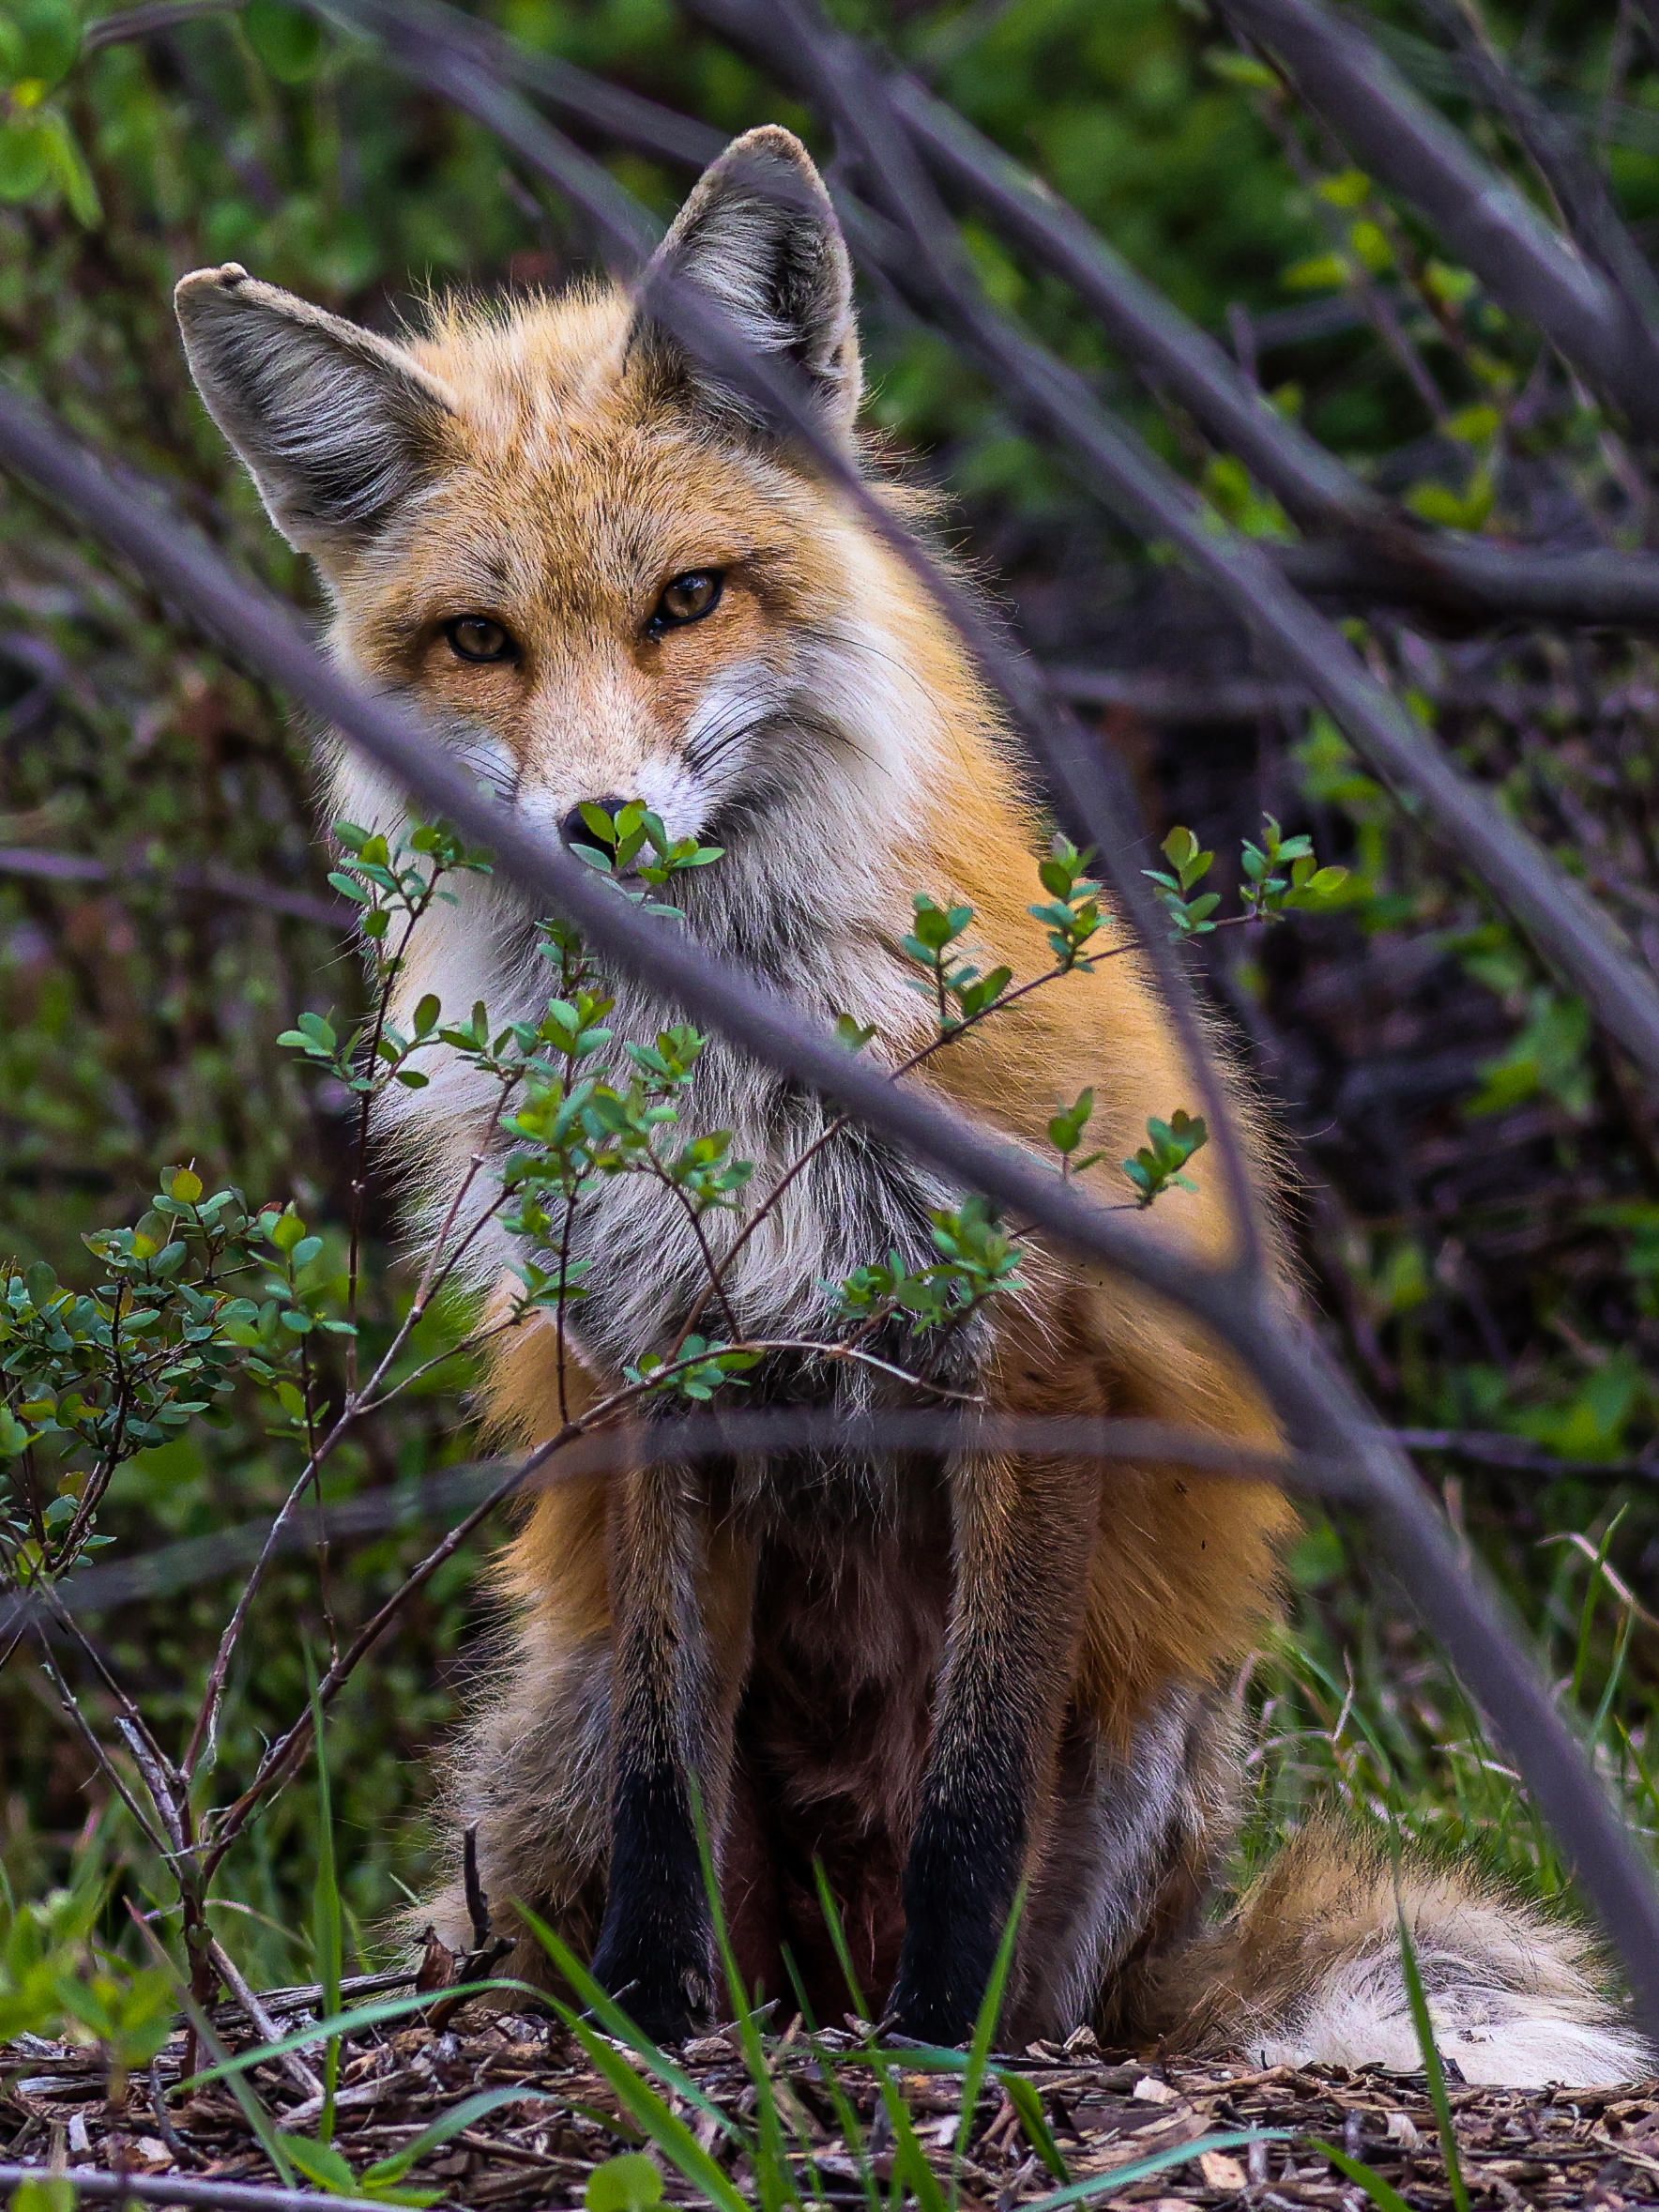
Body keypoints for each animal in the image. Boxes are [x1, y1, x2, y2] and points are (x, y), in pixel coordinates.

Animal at [175, 125, 1649, 2088]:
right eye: (480, 638)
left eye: (687, 598)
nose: (598, 833)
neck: (734, 1064)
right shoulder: (644, 1364)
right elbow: (667, 1792)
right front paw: (658, 2030)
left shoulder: (1027, 1348)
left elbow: (971, 1795)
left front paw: (944, 2061)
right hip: (556, 1723)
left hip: (1145, 1760)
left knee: (1045, 1929)